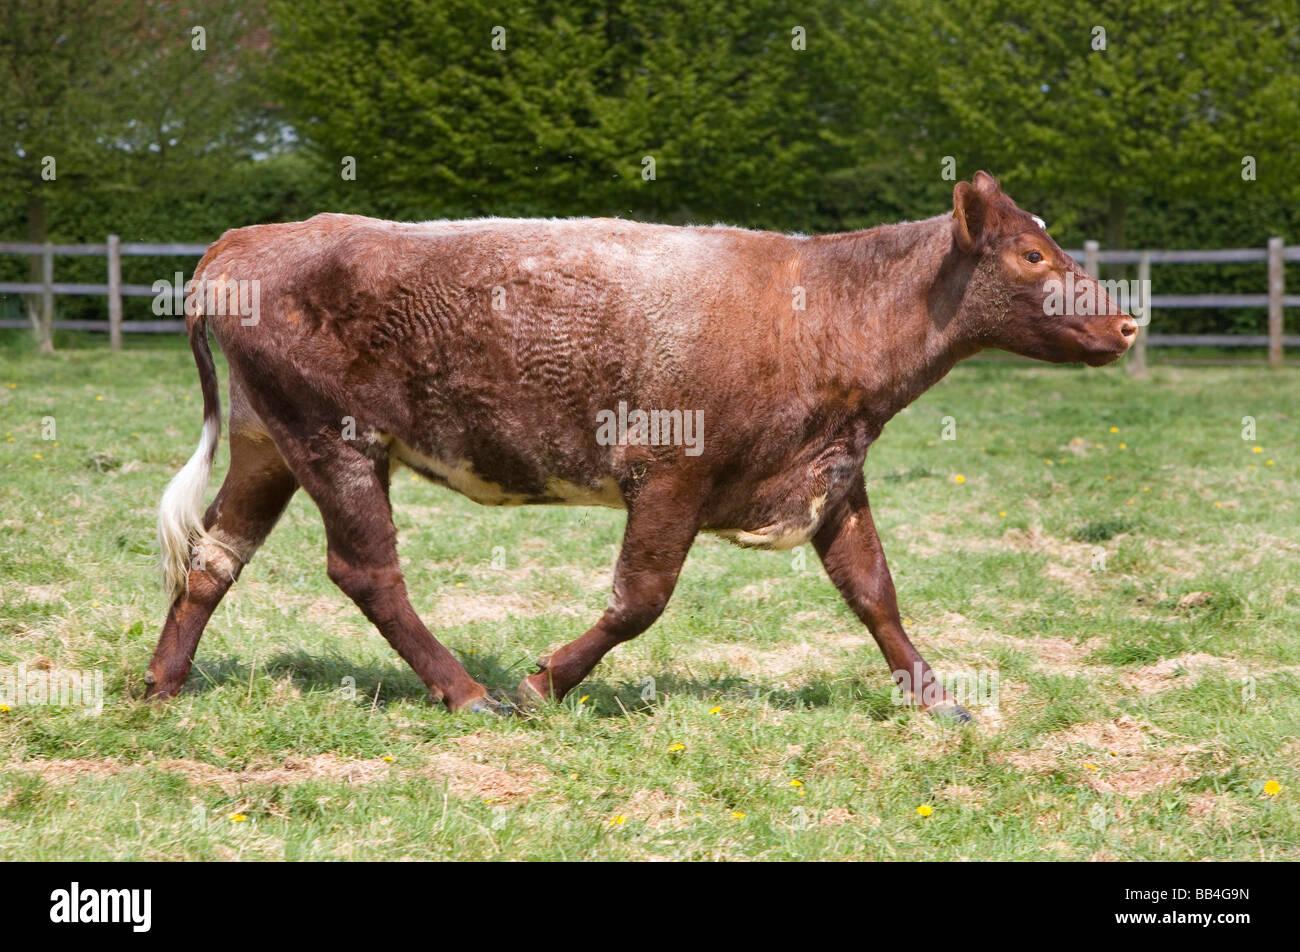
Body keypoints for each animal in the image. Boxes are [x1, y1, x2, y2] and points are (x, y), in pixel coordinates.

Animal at [149, 171, 1135, 720]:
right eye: (1032, 256)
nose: (1126, 323)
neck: (824, 306)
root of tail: (251, 239)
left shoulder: (831, 474)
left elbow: (874, 593)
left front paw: (940, 701)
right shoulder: (668, 475)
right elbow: (641, 599)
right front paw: (543, 685)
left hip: (269, 444)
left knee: (214, 555)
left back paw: (162, 681)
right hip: (337, 443)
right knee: (366, 570)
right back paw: (467, 693)